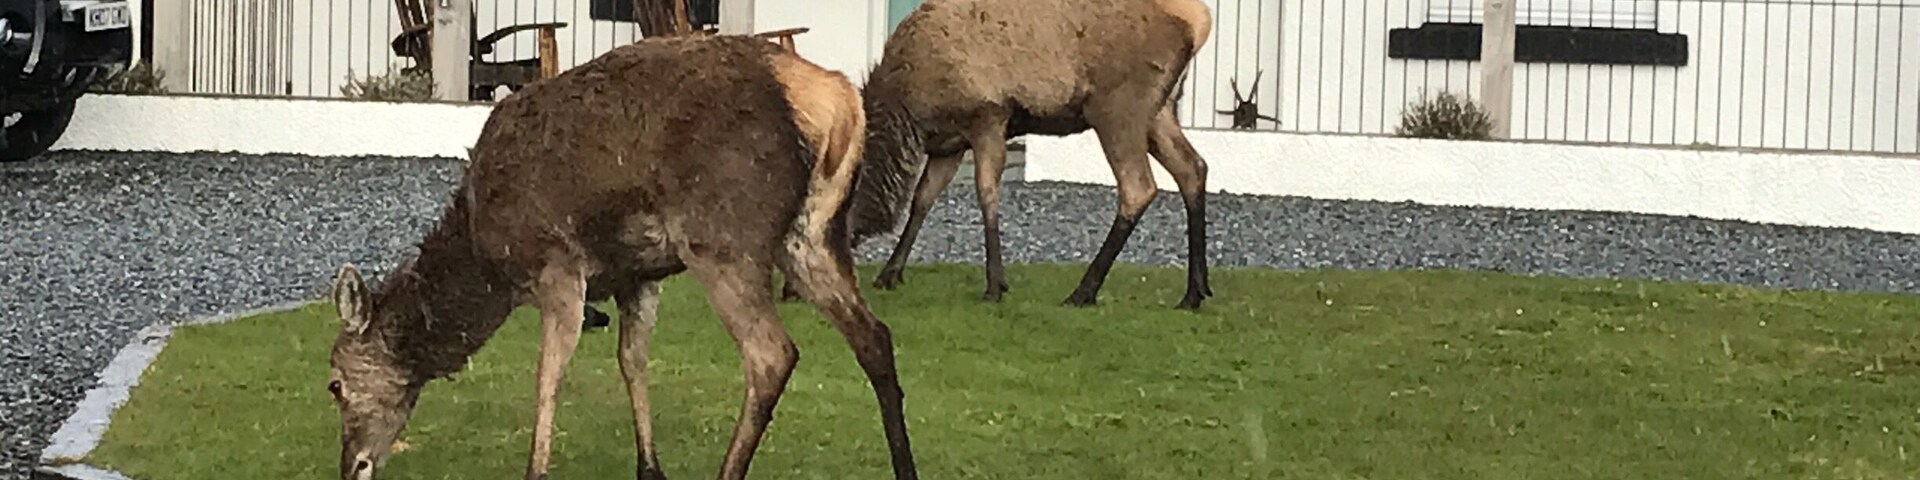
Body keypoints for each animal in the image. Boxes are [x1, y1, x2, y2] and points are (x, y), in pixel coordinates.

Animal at [323, 35, 921, 480]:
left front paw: (536, 468)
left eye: (334, 384)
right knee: (874, 336)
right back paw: (905, 466)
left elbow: (548, 375)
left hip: (723, 235)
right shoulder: (637, 275)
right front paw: (649, 466)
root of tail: (838, 100)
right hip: (813, 234)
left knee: (772, 354)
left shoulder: (557, 265)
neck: (486, 260)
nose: (352, 466)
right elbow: (631, 360)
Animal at [846, 0, 1219, 310]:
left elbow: (986, 193)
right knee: (1192, 168)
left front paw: (995, 285)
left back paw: (1083, 292)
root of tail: (1199, 21)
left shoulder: (988, 117)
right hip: (1160, 111)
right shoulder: (948, 144)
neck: (911, 110)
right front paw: (890, 273)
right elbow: (923, 199)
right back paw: (1194, 292)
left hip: (1117, 105)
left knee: (1138, 187)